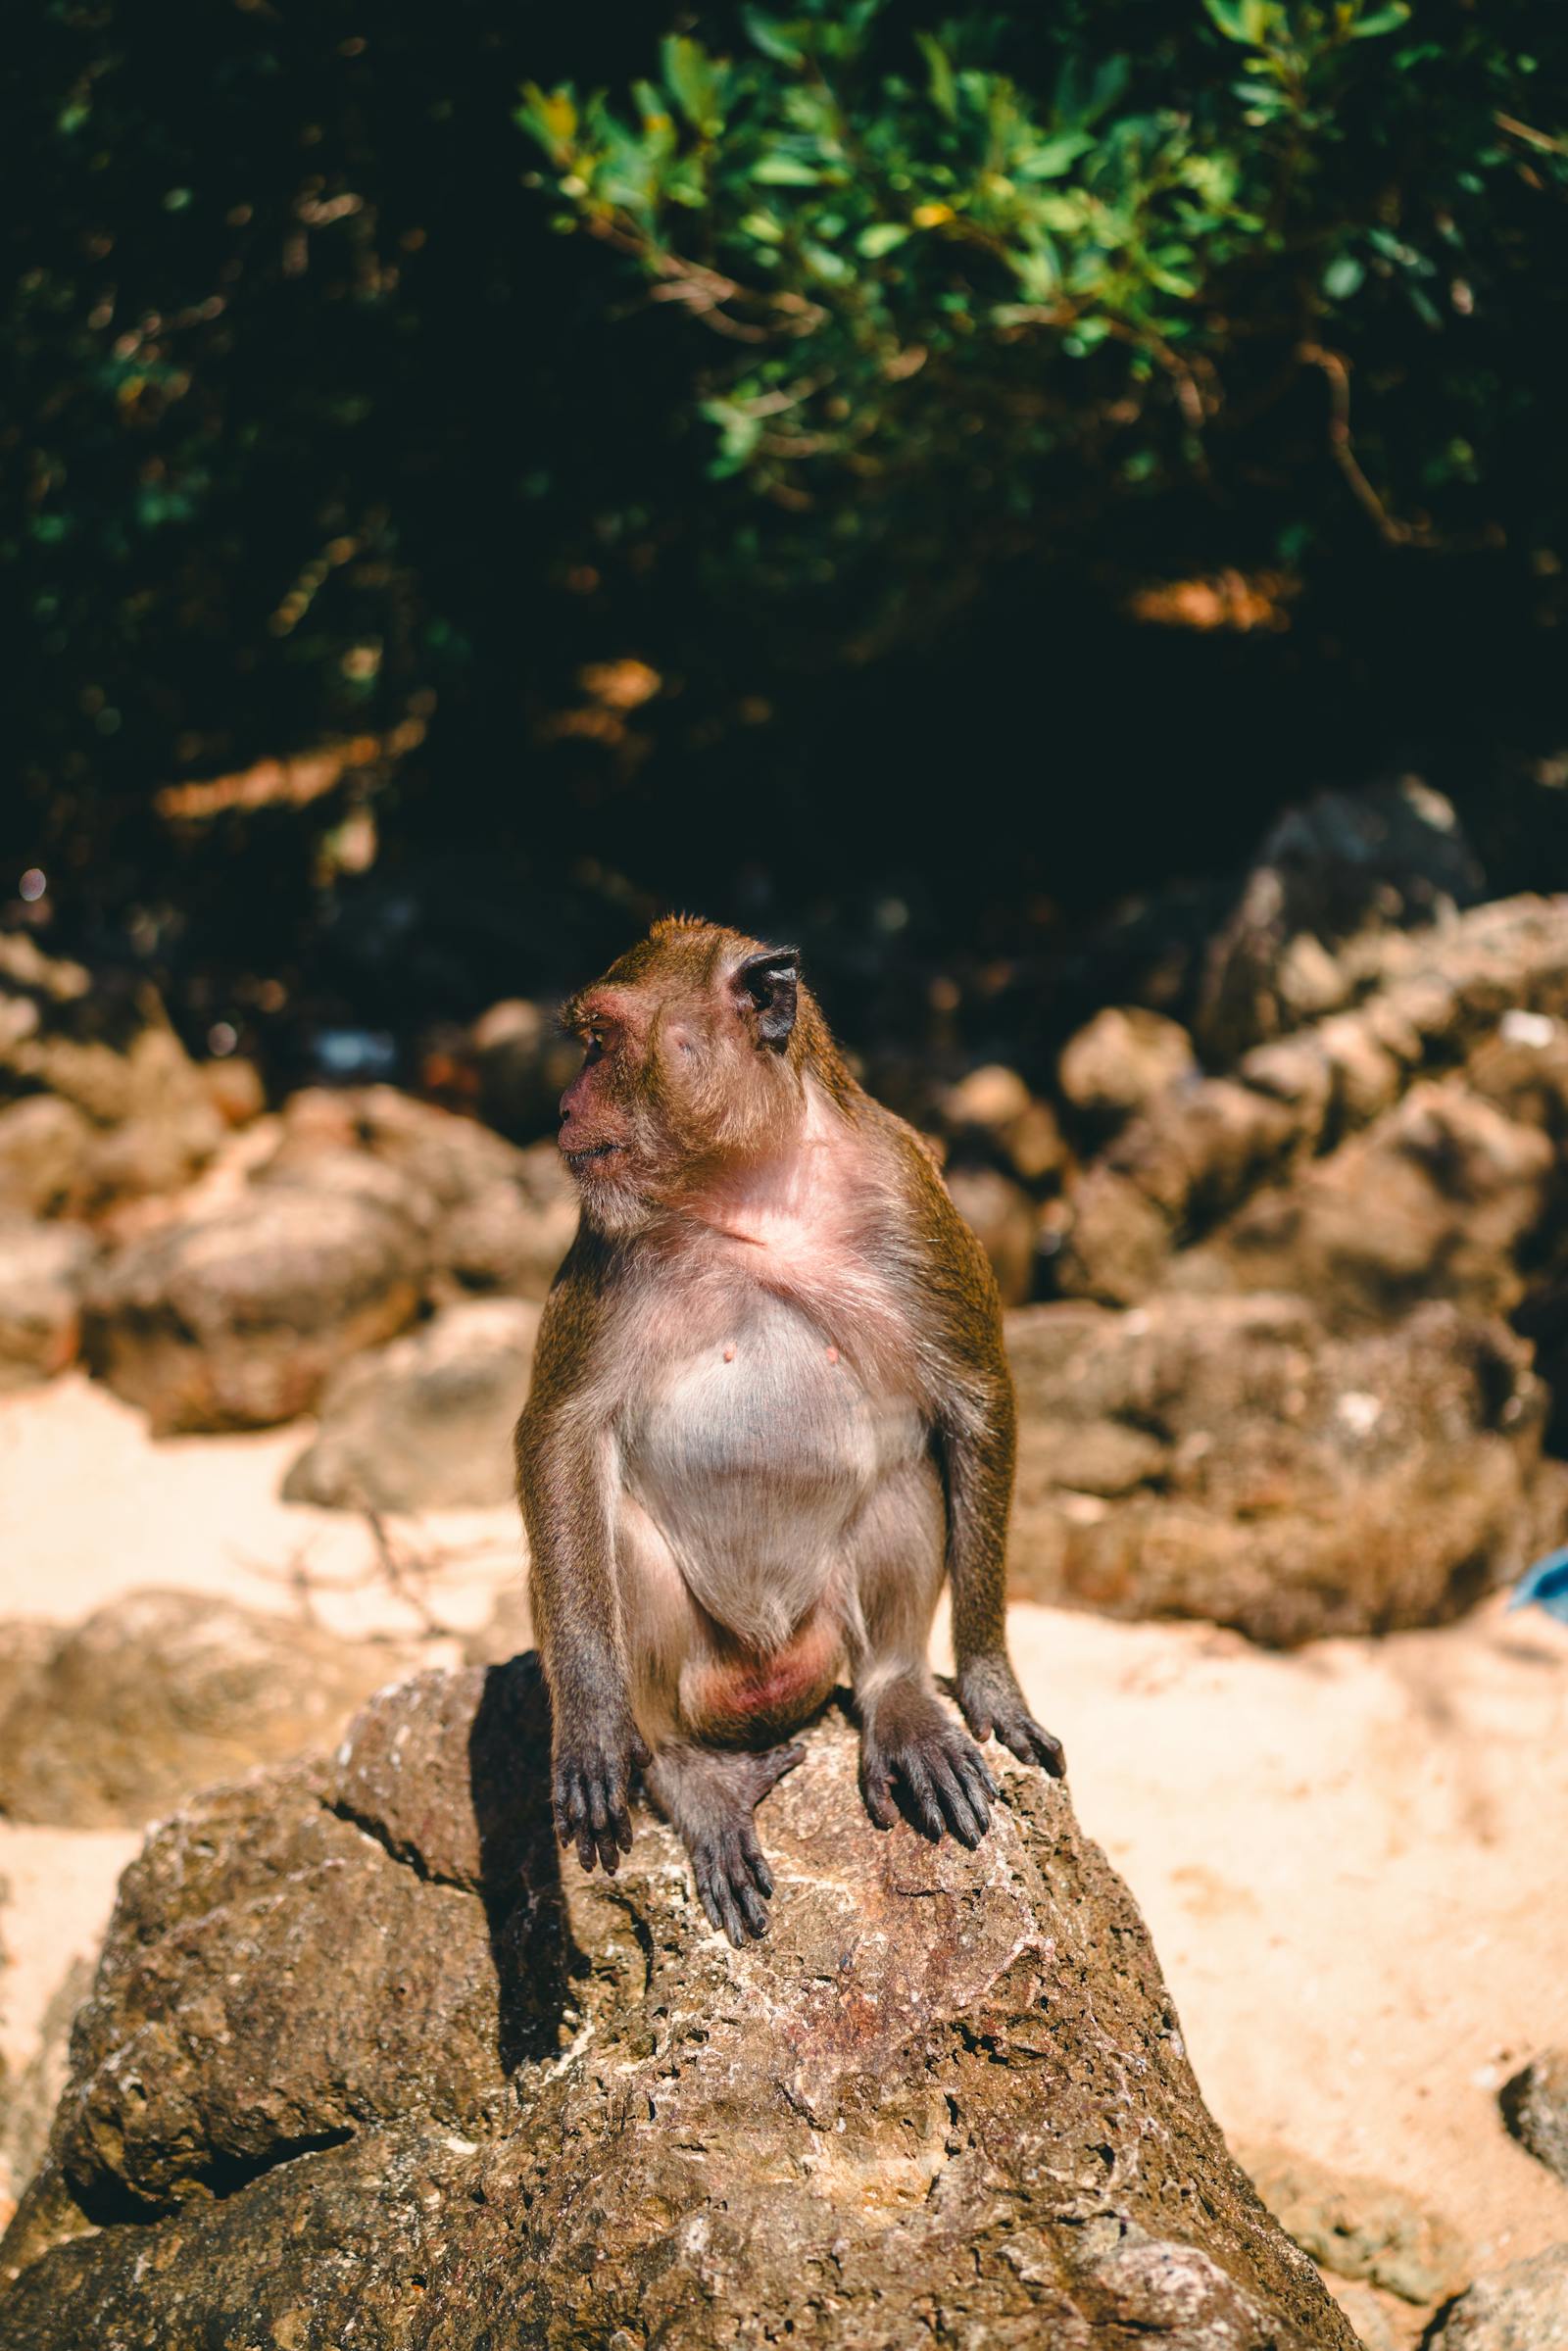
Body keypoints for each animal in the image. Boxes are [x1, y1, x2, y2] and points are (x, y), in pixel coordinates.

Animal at [515, 916, 1065, 1948]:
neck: (752, 1191)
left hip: (827, 1632)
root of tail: (773, 1692)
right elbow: (559, 1437)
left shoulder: (909, 1195)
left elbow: (978, 1399)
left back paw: (900, 1700)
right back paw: (689, 1772)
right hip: (704, 1676)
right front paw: (594, 1725)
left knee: (904, 1479)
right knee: (618, 1542)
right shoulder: (606, 1239)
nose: (562, 1107)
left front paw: (989, 1685)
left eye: (602, 1042)